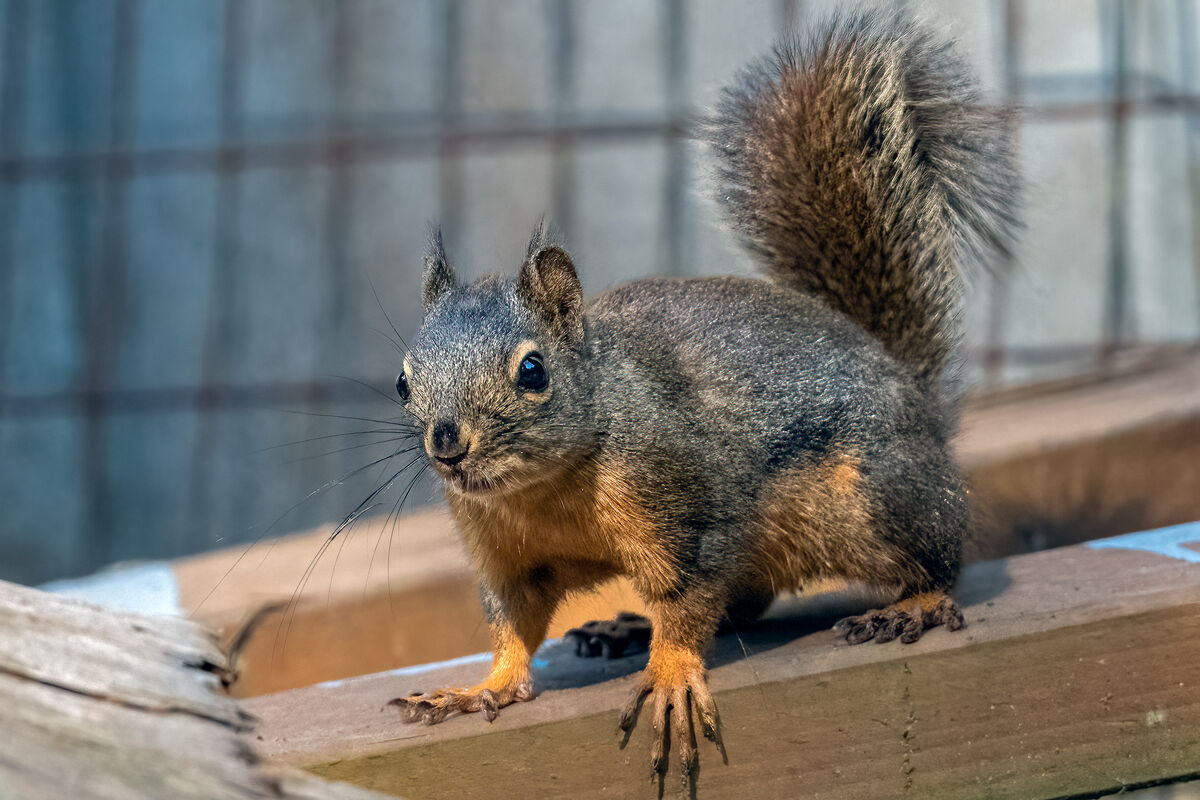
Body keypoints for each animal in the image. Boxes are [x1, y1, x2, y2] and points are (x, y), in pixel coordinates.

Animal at [388, 6, 1018, 790]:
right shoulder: (509, 556)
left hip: (883, 494)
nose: (448, 443)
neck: (546, 490)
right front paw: (479, 688)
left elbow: (688, 603)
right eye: (403, 381)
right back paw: (627, 627)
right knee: (745, 601)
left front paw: (671, 676)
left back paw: (915, 606)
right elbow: (515, 627)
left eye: (533, 371)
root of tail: (915, 398)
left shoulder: (692, 512)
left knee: (937, 558)